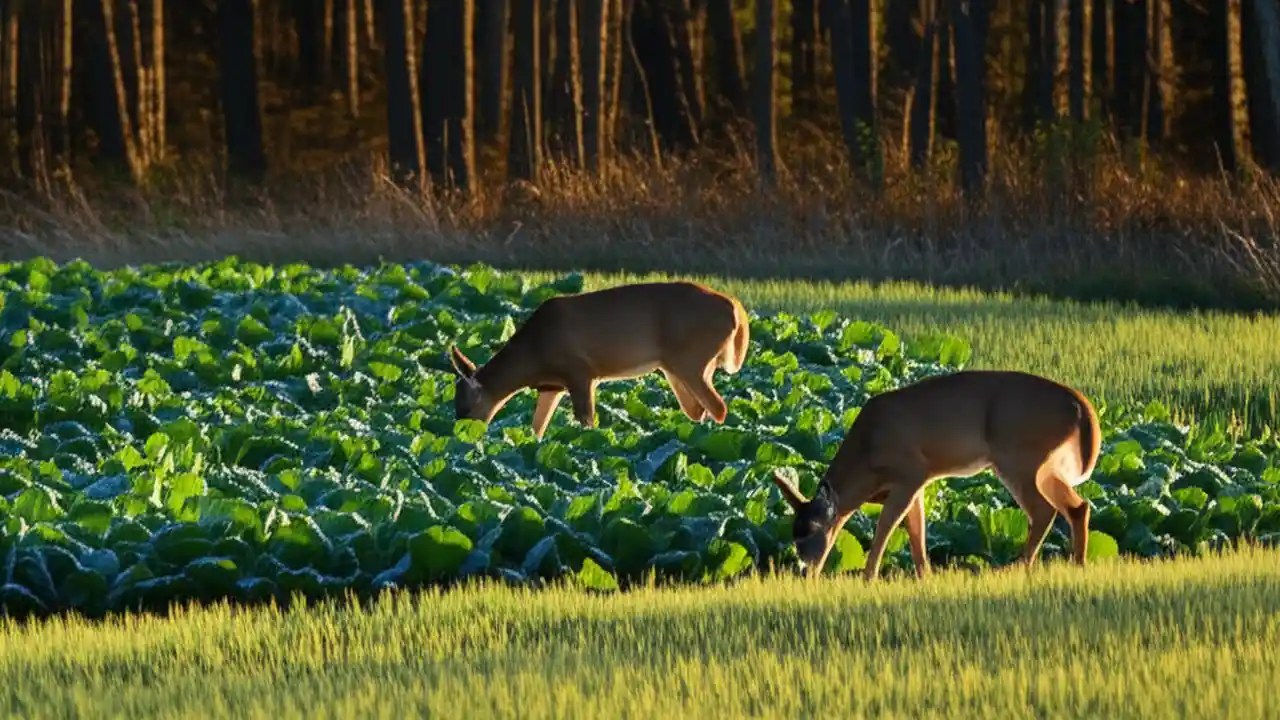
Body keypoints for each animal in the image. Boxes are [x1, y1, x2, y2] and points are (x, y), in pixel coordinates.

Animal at [447, 281, 752, 439]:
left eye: (464, 408)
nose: (459, 436)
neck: (534, 352)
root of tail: (736, 308)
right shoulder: (552, 385)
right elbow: (537, 426)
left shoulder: (581, 372)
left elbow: (587, 421)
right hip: (678, 368)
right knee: (699, 410)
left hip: (691, 360)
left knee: (718, 406)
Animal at [770, 369, 1101, 581]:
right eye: (793, 533)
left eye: (812, 531)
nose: (805, 569)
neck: (867, 455)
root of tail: (1081, 406)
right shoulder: (919, 482)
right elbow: (916, 527)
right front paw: (924, 575)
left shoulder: (911, 471)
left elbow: (887, 524)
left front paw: (868, 575)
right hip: (1044, 465)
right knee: (1077, 506)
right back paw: (1079, 563)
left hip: (1018, 455)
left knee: (1044, 509)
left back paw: (1017, 567)